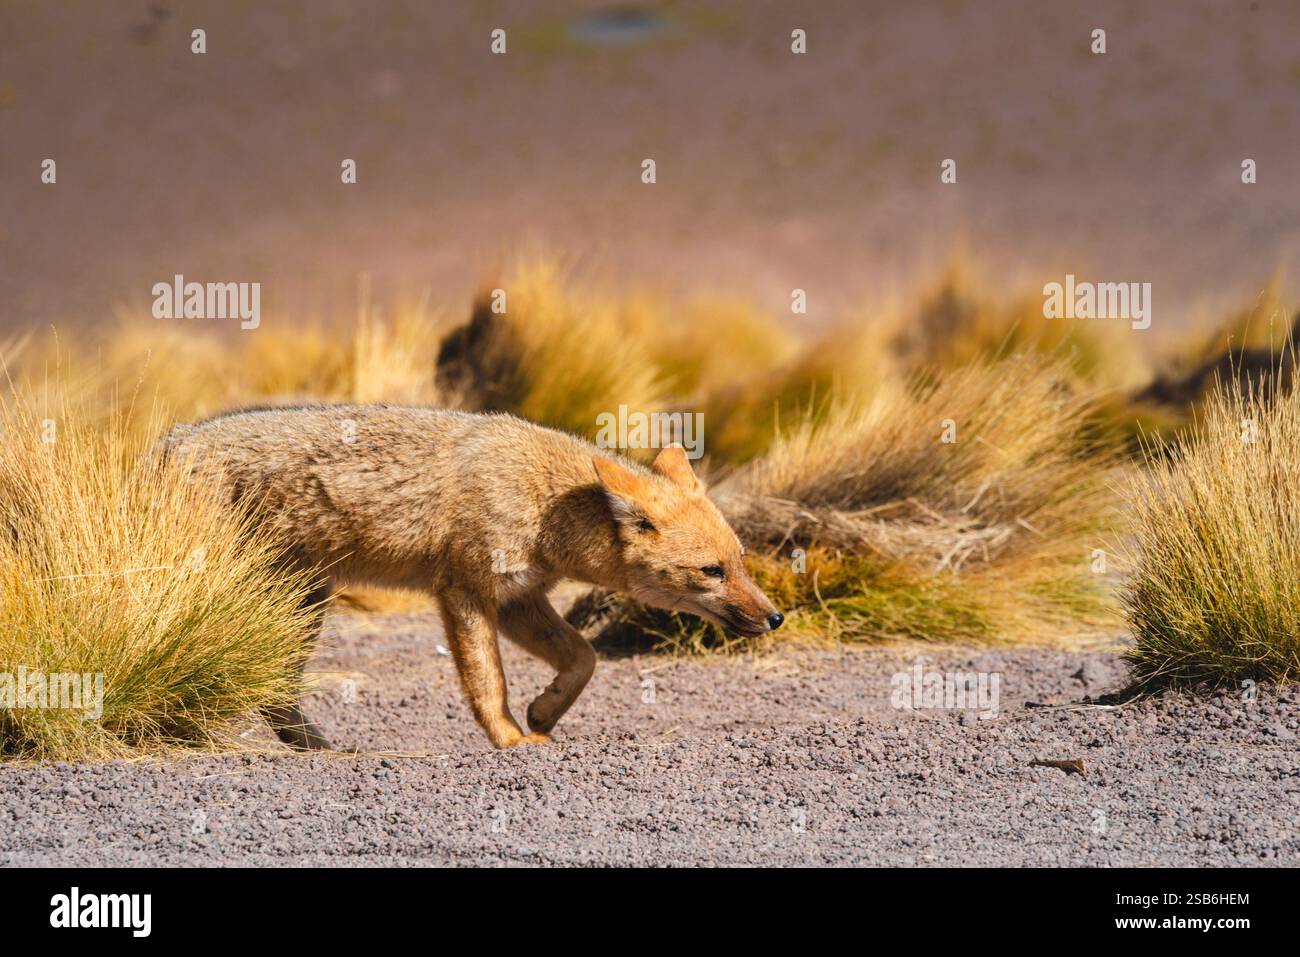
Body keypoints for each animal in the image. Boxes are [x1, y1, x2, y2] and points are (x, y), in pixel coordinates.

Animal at [162, 405, 783, 750]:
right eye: (712, 571)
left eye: (741, 561)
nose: (775, 616)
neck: (544, 503)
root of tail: (175, 436)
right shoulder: (465, 591)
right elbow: (489, 683)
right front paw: (509, 739)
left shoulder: (519, 599)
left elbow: (583, 658)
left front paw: (544, 712)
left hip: (305, 600)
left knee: (275, 690)